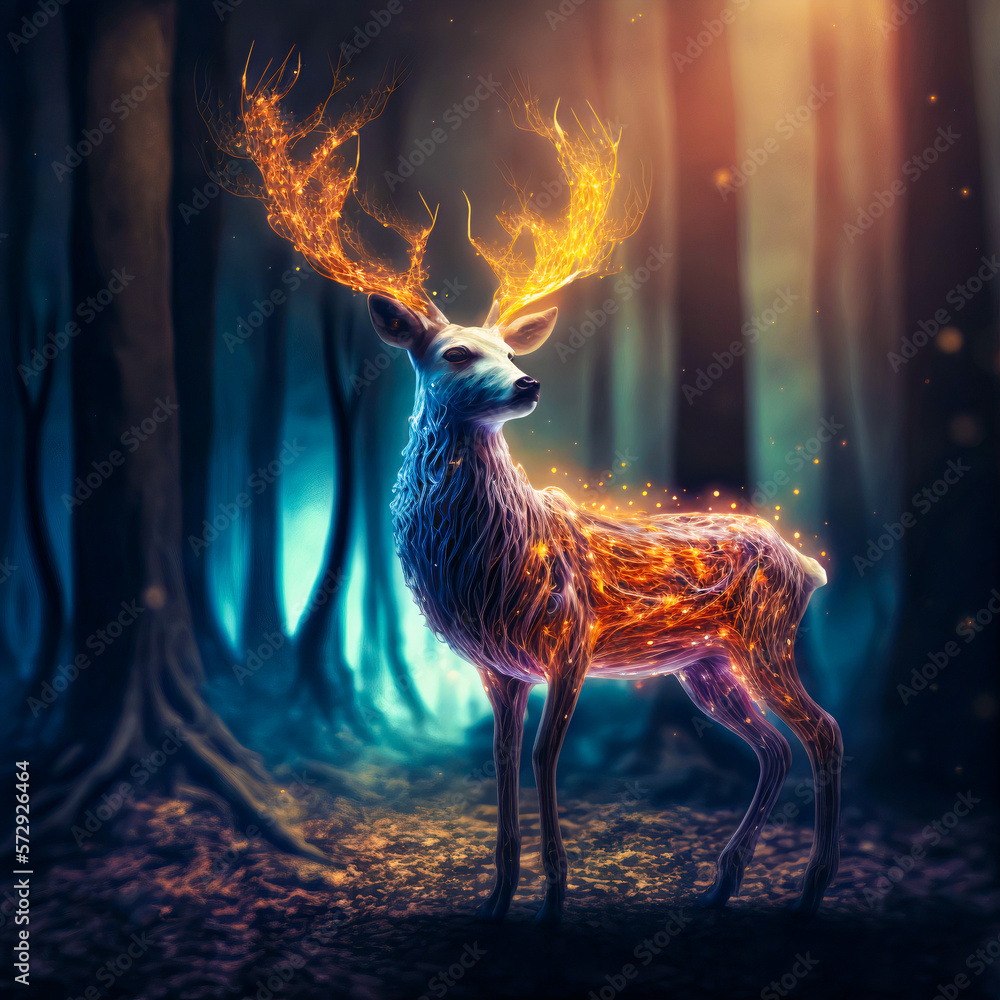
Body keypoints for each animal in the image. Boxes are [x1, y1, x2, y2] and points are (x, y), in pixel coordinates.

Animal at [218, 58, 843, 923]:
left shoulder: (571, 634)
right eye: (453, 353)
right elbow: (503, 760)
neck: (490, 557)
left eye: (508, 351)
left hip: (762, 636)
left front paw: (552, 898)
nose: (528, 383)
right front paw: (498, 897)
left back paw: (812, 888)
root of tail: (808, 563)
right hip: (705, 663)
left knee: (824, 731)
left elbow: (549, 758)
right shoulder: (498, 664)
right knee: (776, 747)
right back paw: (722, 884)